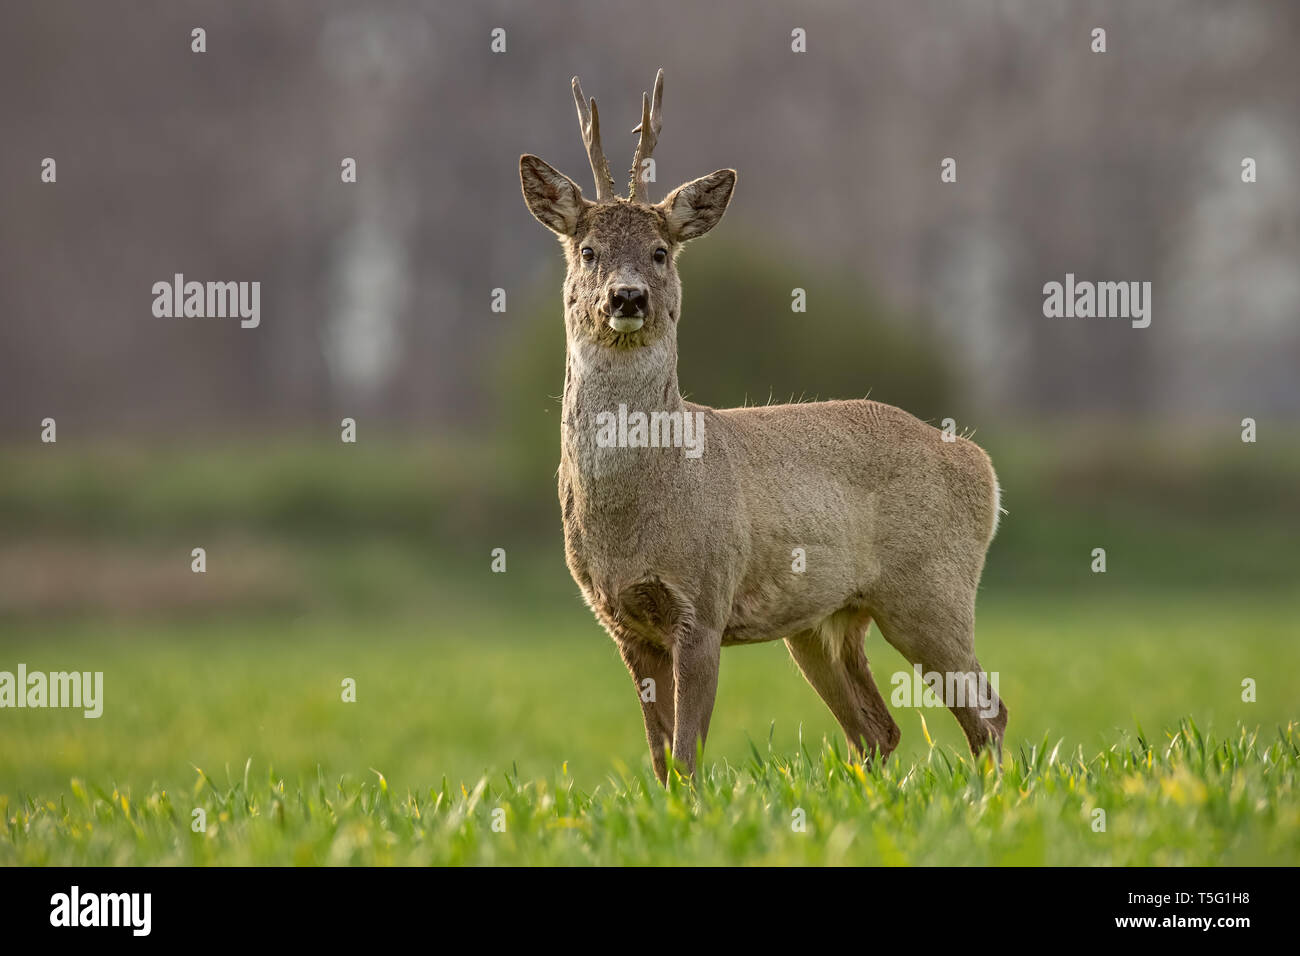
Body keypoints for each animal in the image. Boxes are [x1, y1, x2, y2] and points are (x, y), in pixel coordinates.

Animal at [519, 69, 1007, 783]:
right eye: (586, 250)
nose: (627, 297)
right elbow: (659, 755)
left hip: (933, 588)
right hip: (824, 622)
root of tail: (981, 463)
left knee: (986, 712)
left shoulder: (704, 599)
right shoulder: (622, 621)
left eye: (661, 251)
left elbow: (688, 752)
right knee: (878, 728)